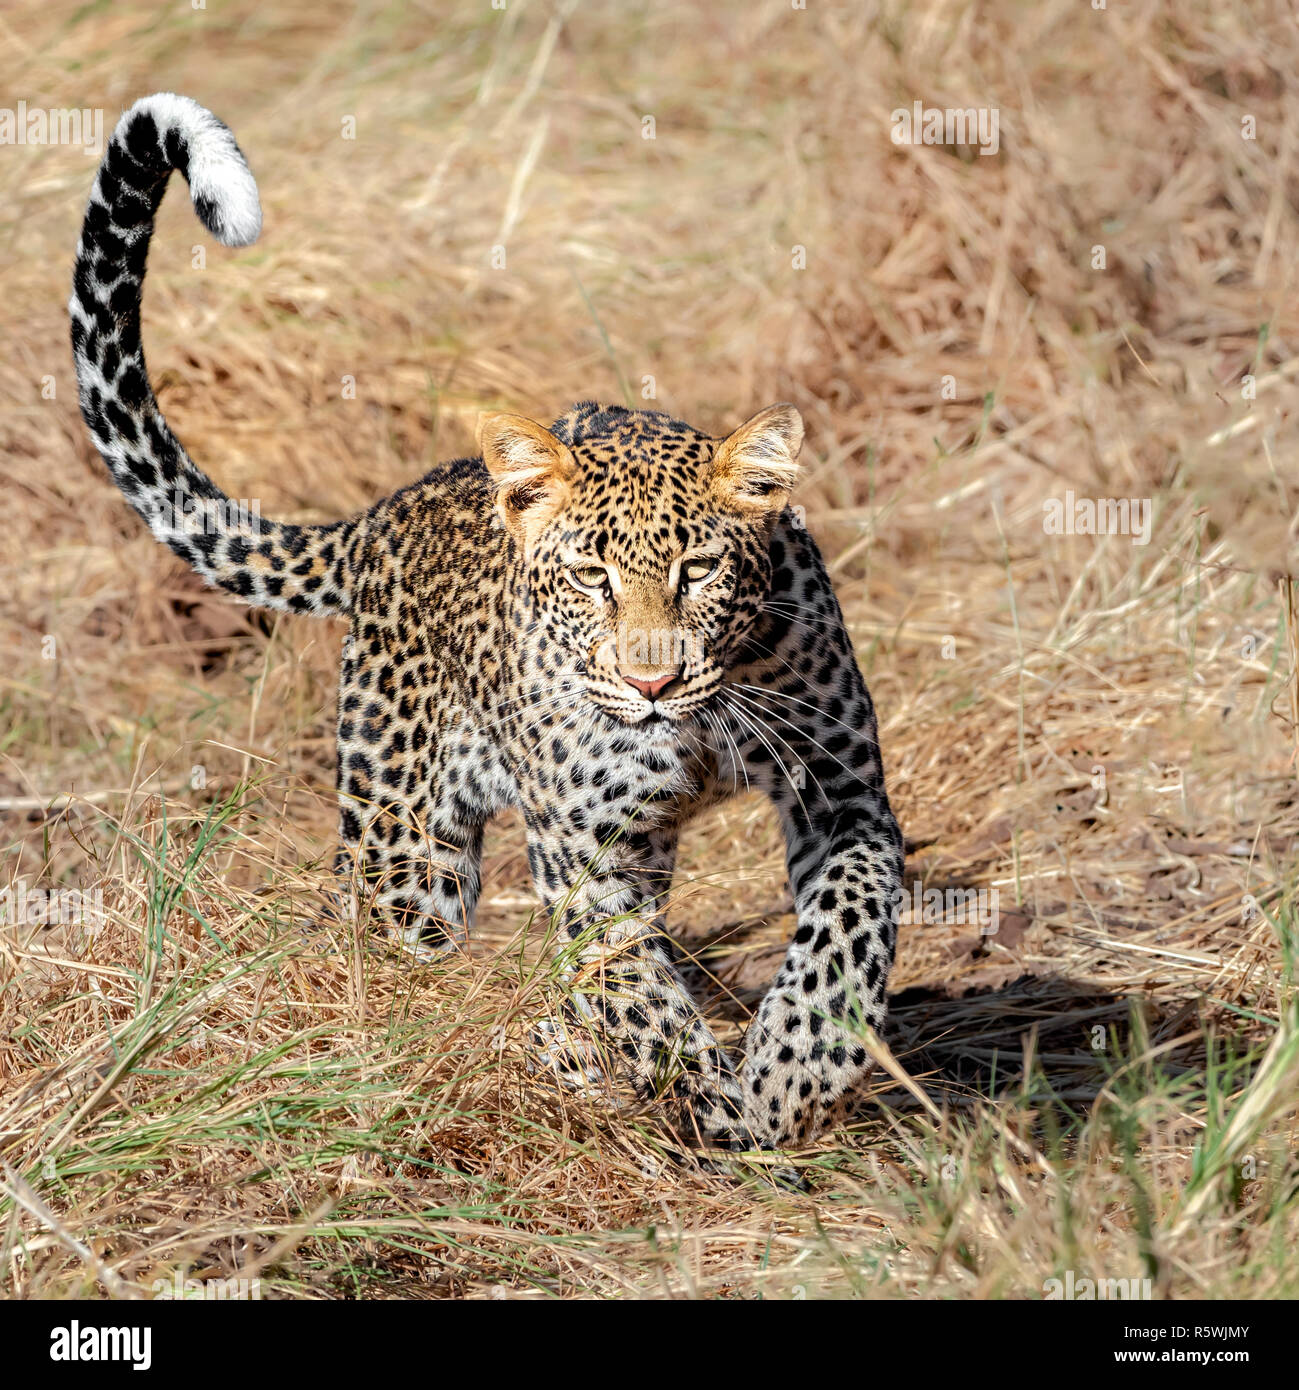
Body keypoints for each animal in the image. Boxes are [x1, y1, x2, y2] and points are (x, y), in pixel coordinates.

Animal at [69, 93, 905, 1159]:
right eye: (590, 577)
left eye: (699, 570)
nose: (651, 685)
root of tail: (386, 511)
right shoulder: (586, 851)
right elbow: (633, 988)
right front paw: (713, 1102)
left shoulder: (843, 795)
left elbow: (849, 928)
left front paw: (795, 1072)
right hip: (406, 849)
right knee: (382, 938)